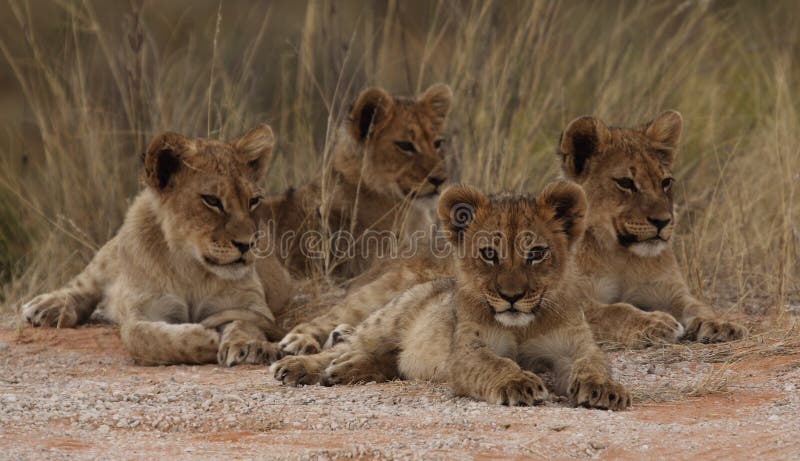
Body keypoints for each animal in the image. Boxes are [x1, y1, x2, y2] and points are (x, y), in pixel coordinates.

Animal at [20, 124, 293, 366]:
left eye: (253, 201)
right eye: (212, 200)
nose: (247, 244)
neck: (191, 267)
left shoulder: (248, 304)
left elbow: (246, 323)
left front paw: (245, 345)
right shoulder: (142, 308)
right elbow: (144, 338)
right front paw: (204, 338)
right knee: (86, 283)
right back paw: (47, 307)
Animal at [271, 182, 630, 410]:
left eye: (537, 253)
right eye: (489, 254)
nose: (512, 296)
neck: (523, 325)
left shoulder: (575, 345)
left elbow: (593, 362)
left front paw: (606, 389)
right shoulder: (467, 351)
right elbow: (496, 363)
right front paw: (519, 383)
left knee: (386, 360)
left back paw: (347, 370)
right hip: (387, 320)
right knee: (343, 346)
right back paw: (298, 366)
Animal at [279, 111, 746, 353]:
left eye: (665, 182)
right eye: (626, 183)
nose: (663, 222)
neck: (621, 252)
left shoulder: (670, 288)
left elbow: (696, 304)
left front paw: (721, 323)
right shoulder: (566, 298)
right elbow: (613, 310)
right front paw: (655, 324)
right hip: (384, 288)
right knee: (333, 314)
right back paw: (301, 341)